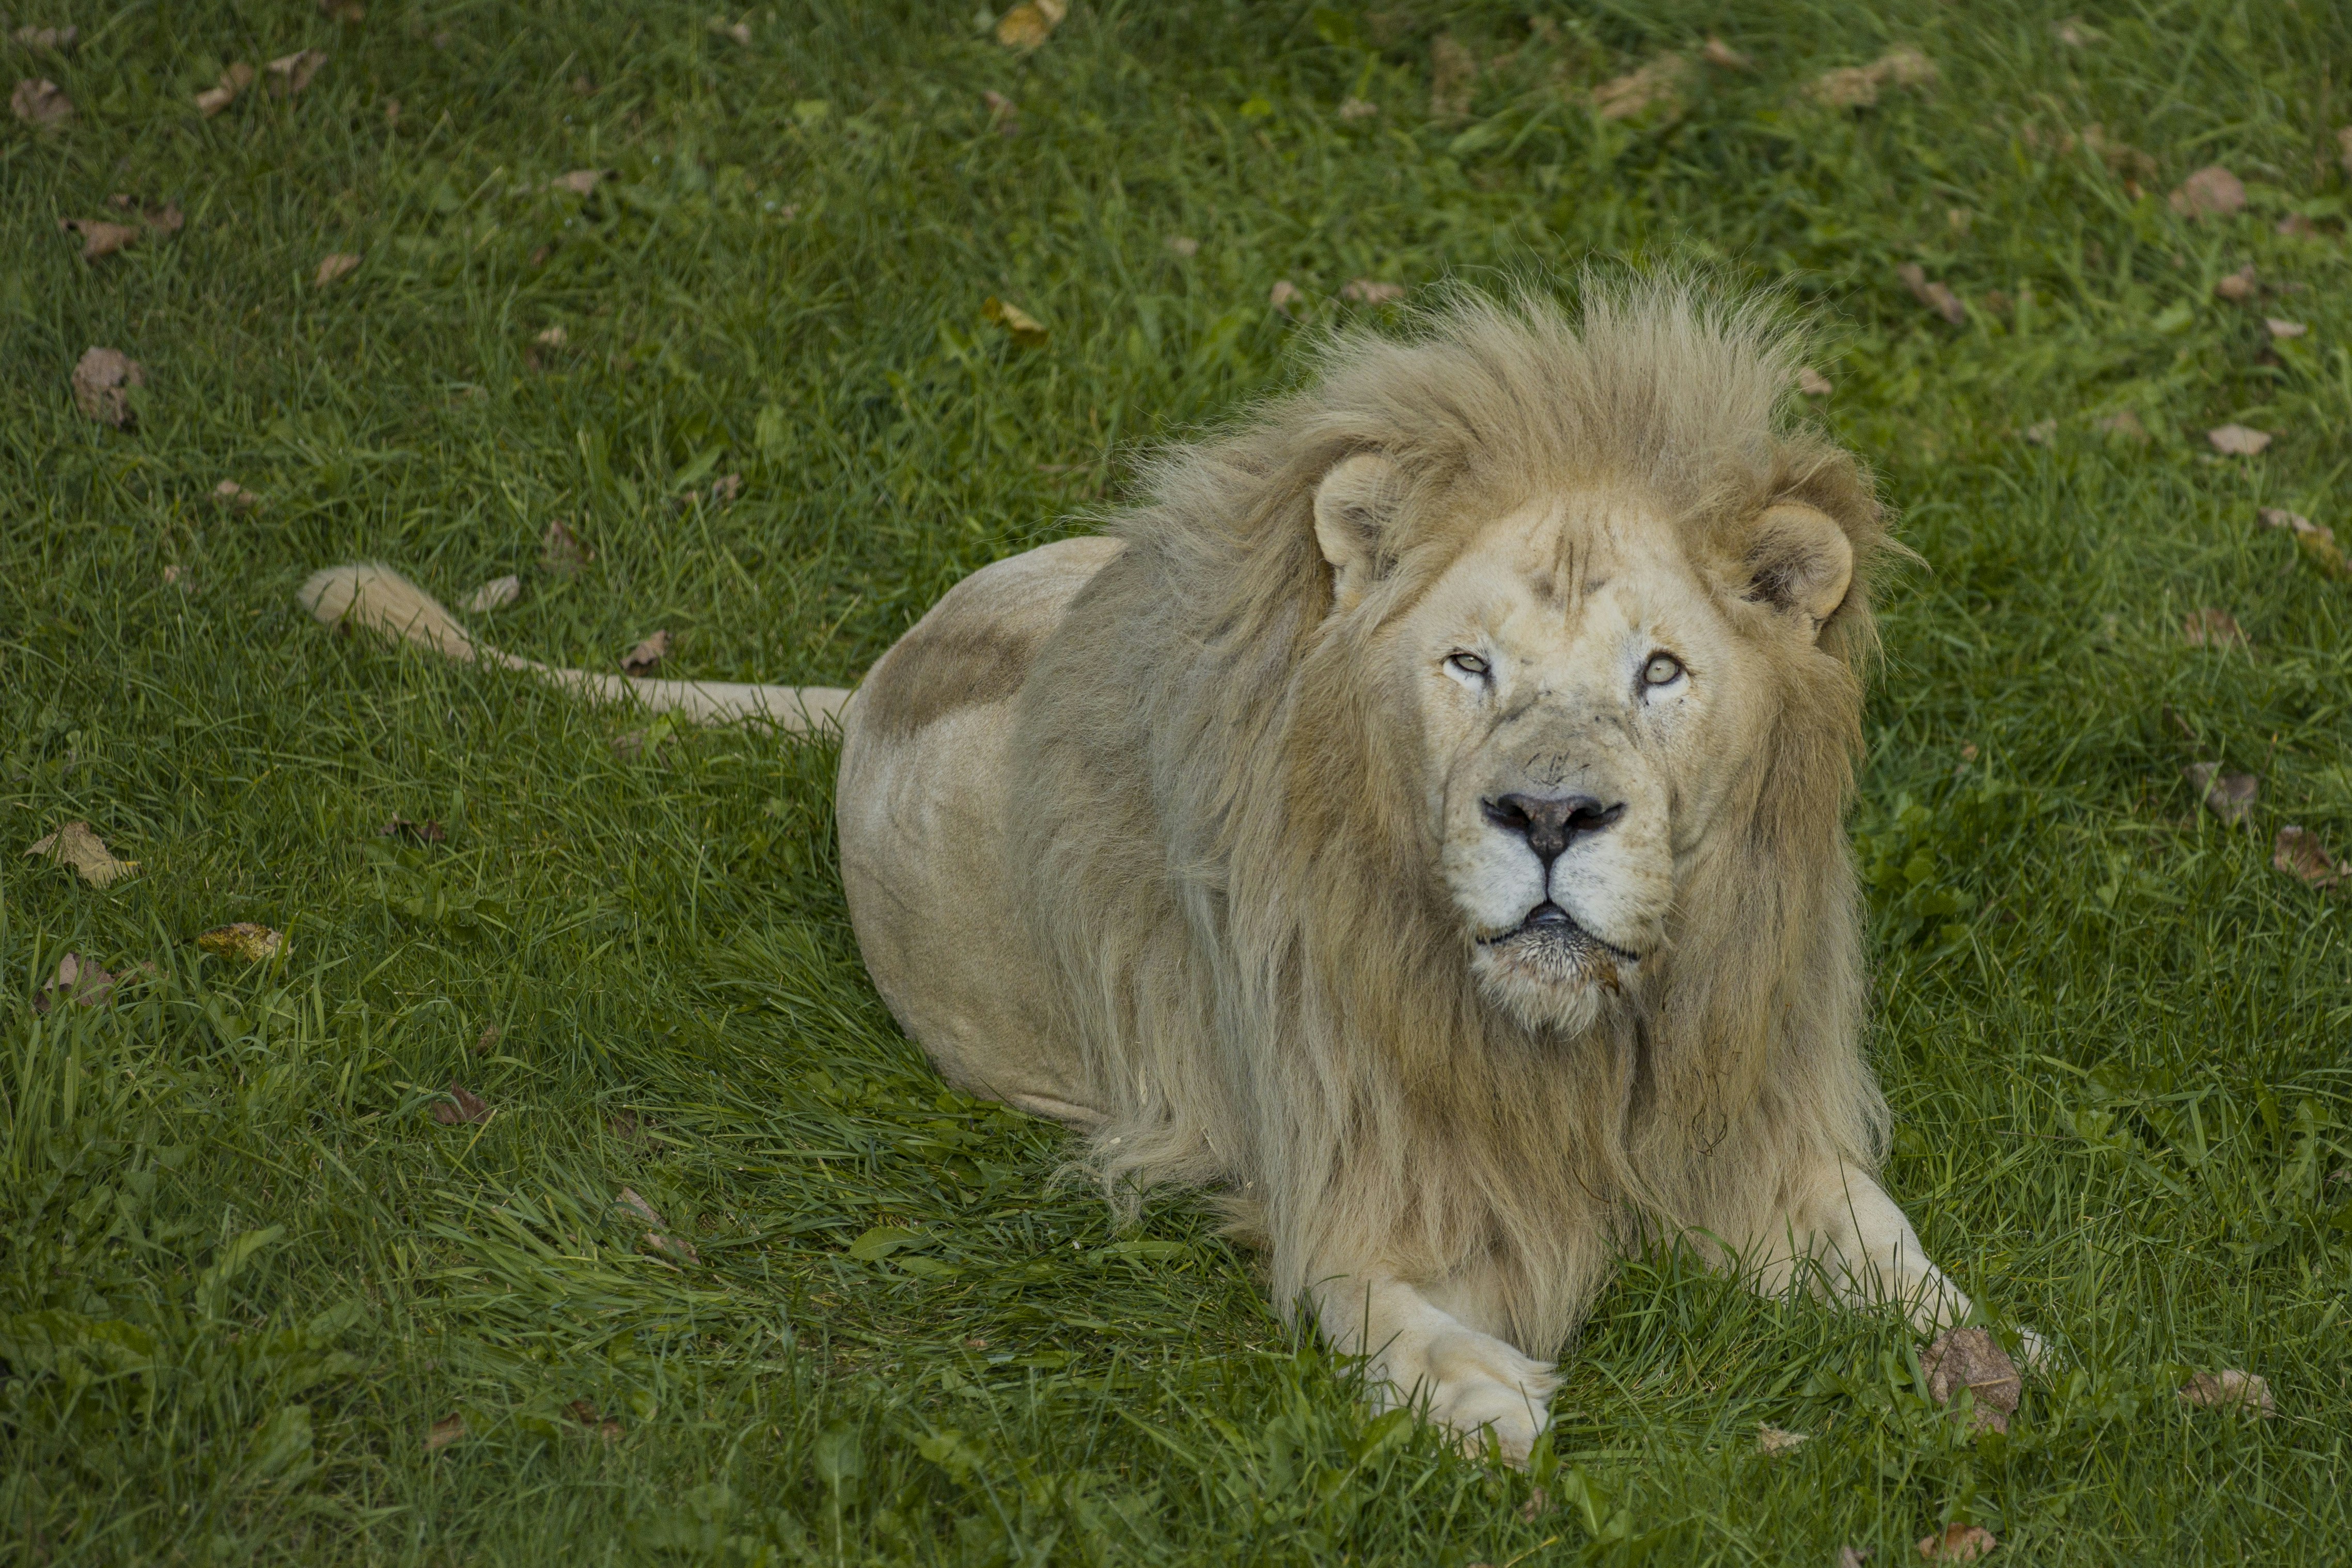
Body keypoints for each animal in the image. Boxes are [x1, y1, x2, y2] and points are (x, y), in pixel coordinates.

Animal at [302, 284, 2025, 1463]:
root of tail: (877, 671)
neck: (1569, 1056)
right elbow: (1362, 1299)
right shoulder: (1333, 1161)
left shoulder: (1749, 1116)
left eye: (1661, 671)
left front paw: (1981, 1354)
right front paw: (1482, 1390)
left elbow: (1884, 1238)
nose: (1548, 815)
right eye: (1467, 665)